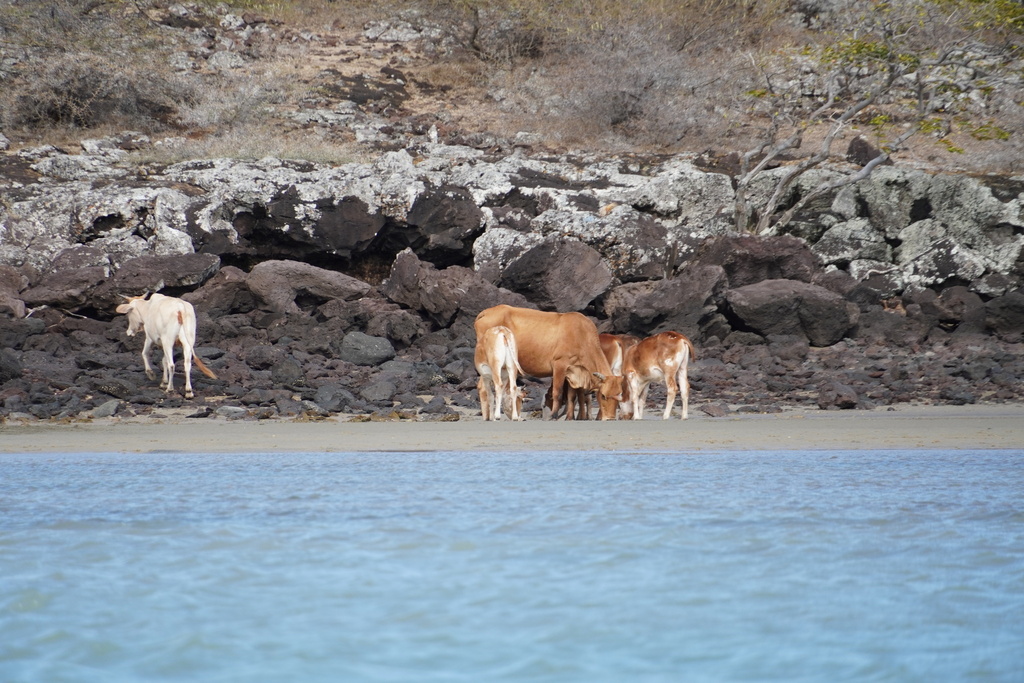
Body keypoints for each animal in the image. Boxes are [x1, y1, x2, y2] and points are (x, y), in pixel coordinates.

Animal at [474, 305, 623, 420]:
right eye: (603, 396)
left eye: (620, 396)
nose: (610, 418)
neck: (583, 336)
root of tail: (486, 312)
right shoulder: (559, 365)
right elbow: (558, 392)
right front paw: (554, 414)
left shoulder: (572, 371)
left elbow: (572, 396)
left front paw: (569, 417)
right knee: (483, 387)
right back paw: (489, 417)